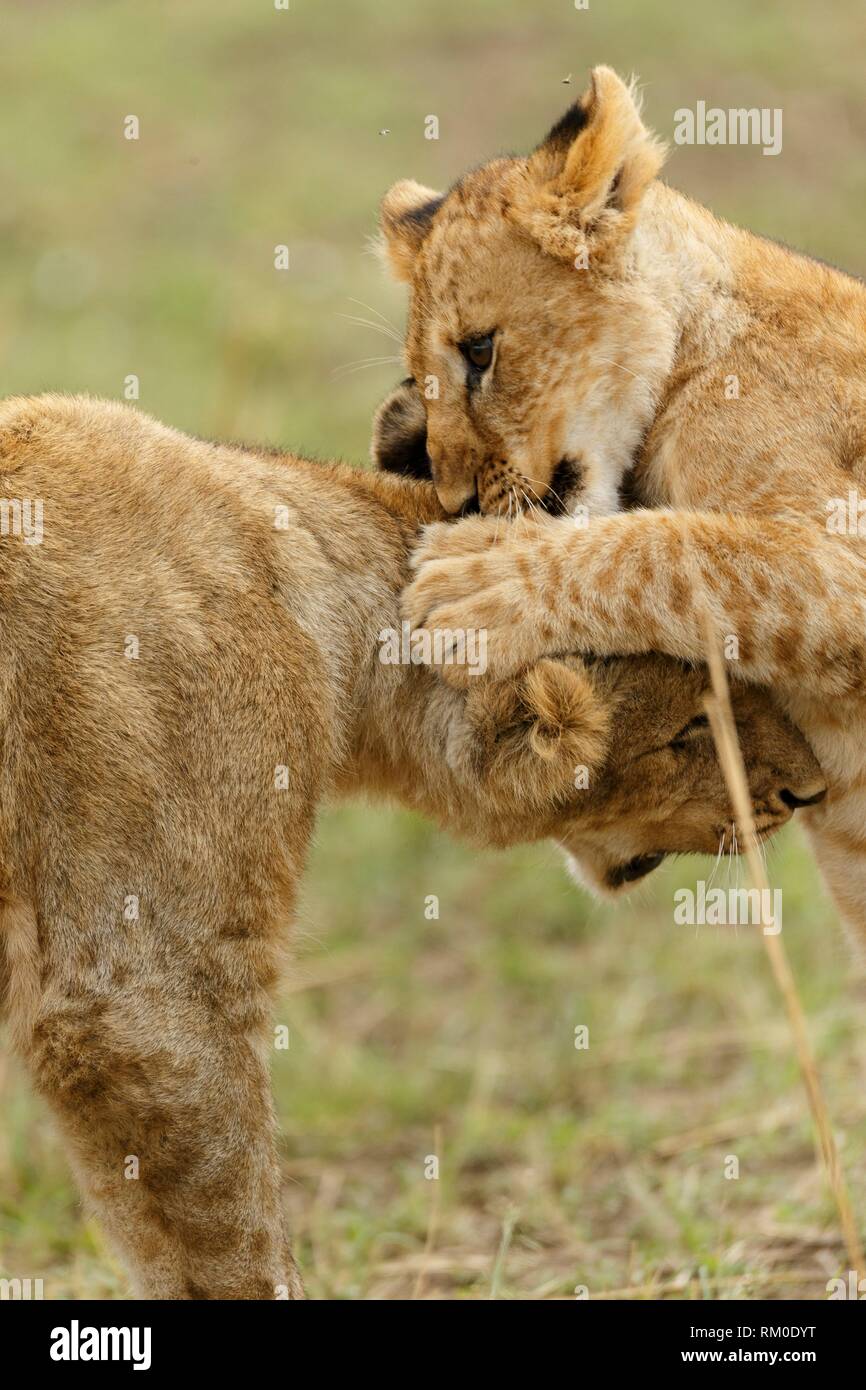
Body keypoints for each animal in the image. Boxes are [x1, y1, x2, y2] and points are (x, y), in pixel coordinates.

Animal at [376, 66, 866, 935]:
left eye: (480, 350)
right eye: (420, 375)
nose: (457, 499)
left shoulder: (848, 547)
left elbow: (692, 552)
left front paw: (476, 587)